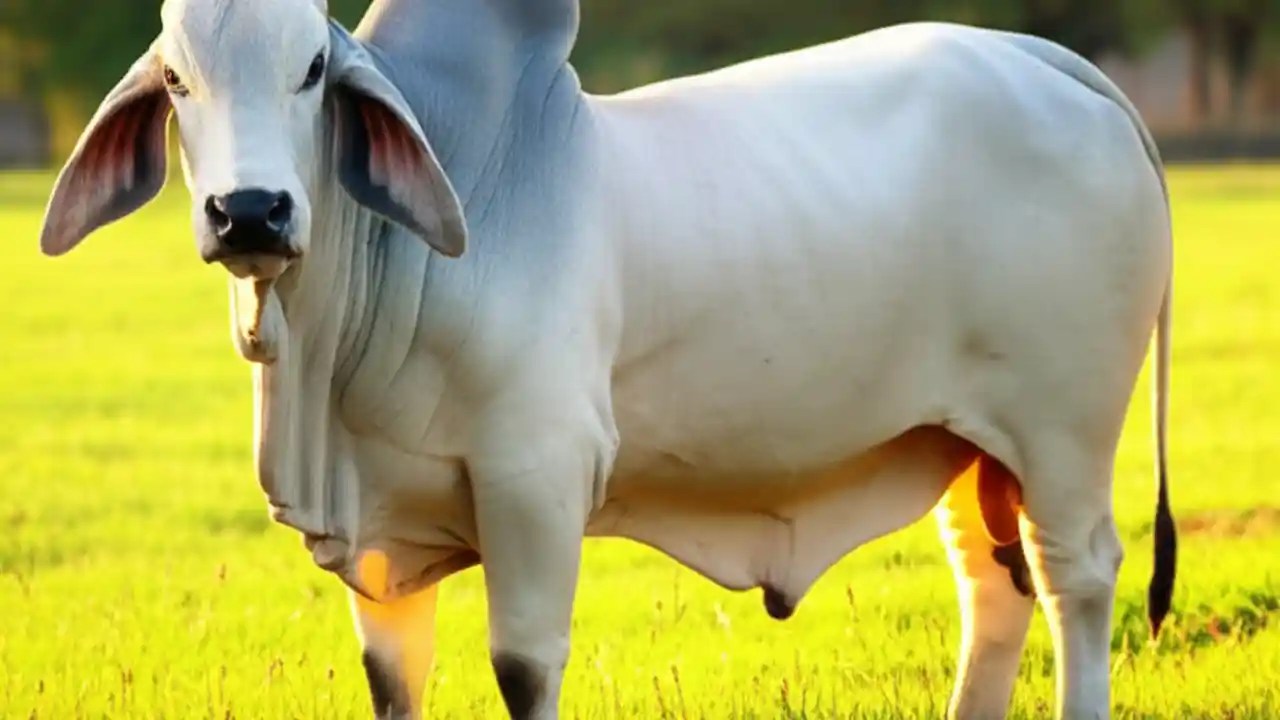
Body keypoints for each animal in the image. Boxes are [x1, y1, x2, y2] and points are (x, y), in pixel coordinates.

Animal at [39, 0, 1175, 718]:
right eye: (176, 78)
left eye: (312, 71)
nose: (251, 212)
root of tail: (1043, 60)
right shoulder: (378, 540)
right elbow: (395, 681)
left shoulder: (535, 482)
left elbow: (523, 666)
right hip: (967, 444)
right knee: (992, 588)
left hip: (1064, 435)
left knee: (1073, 579)